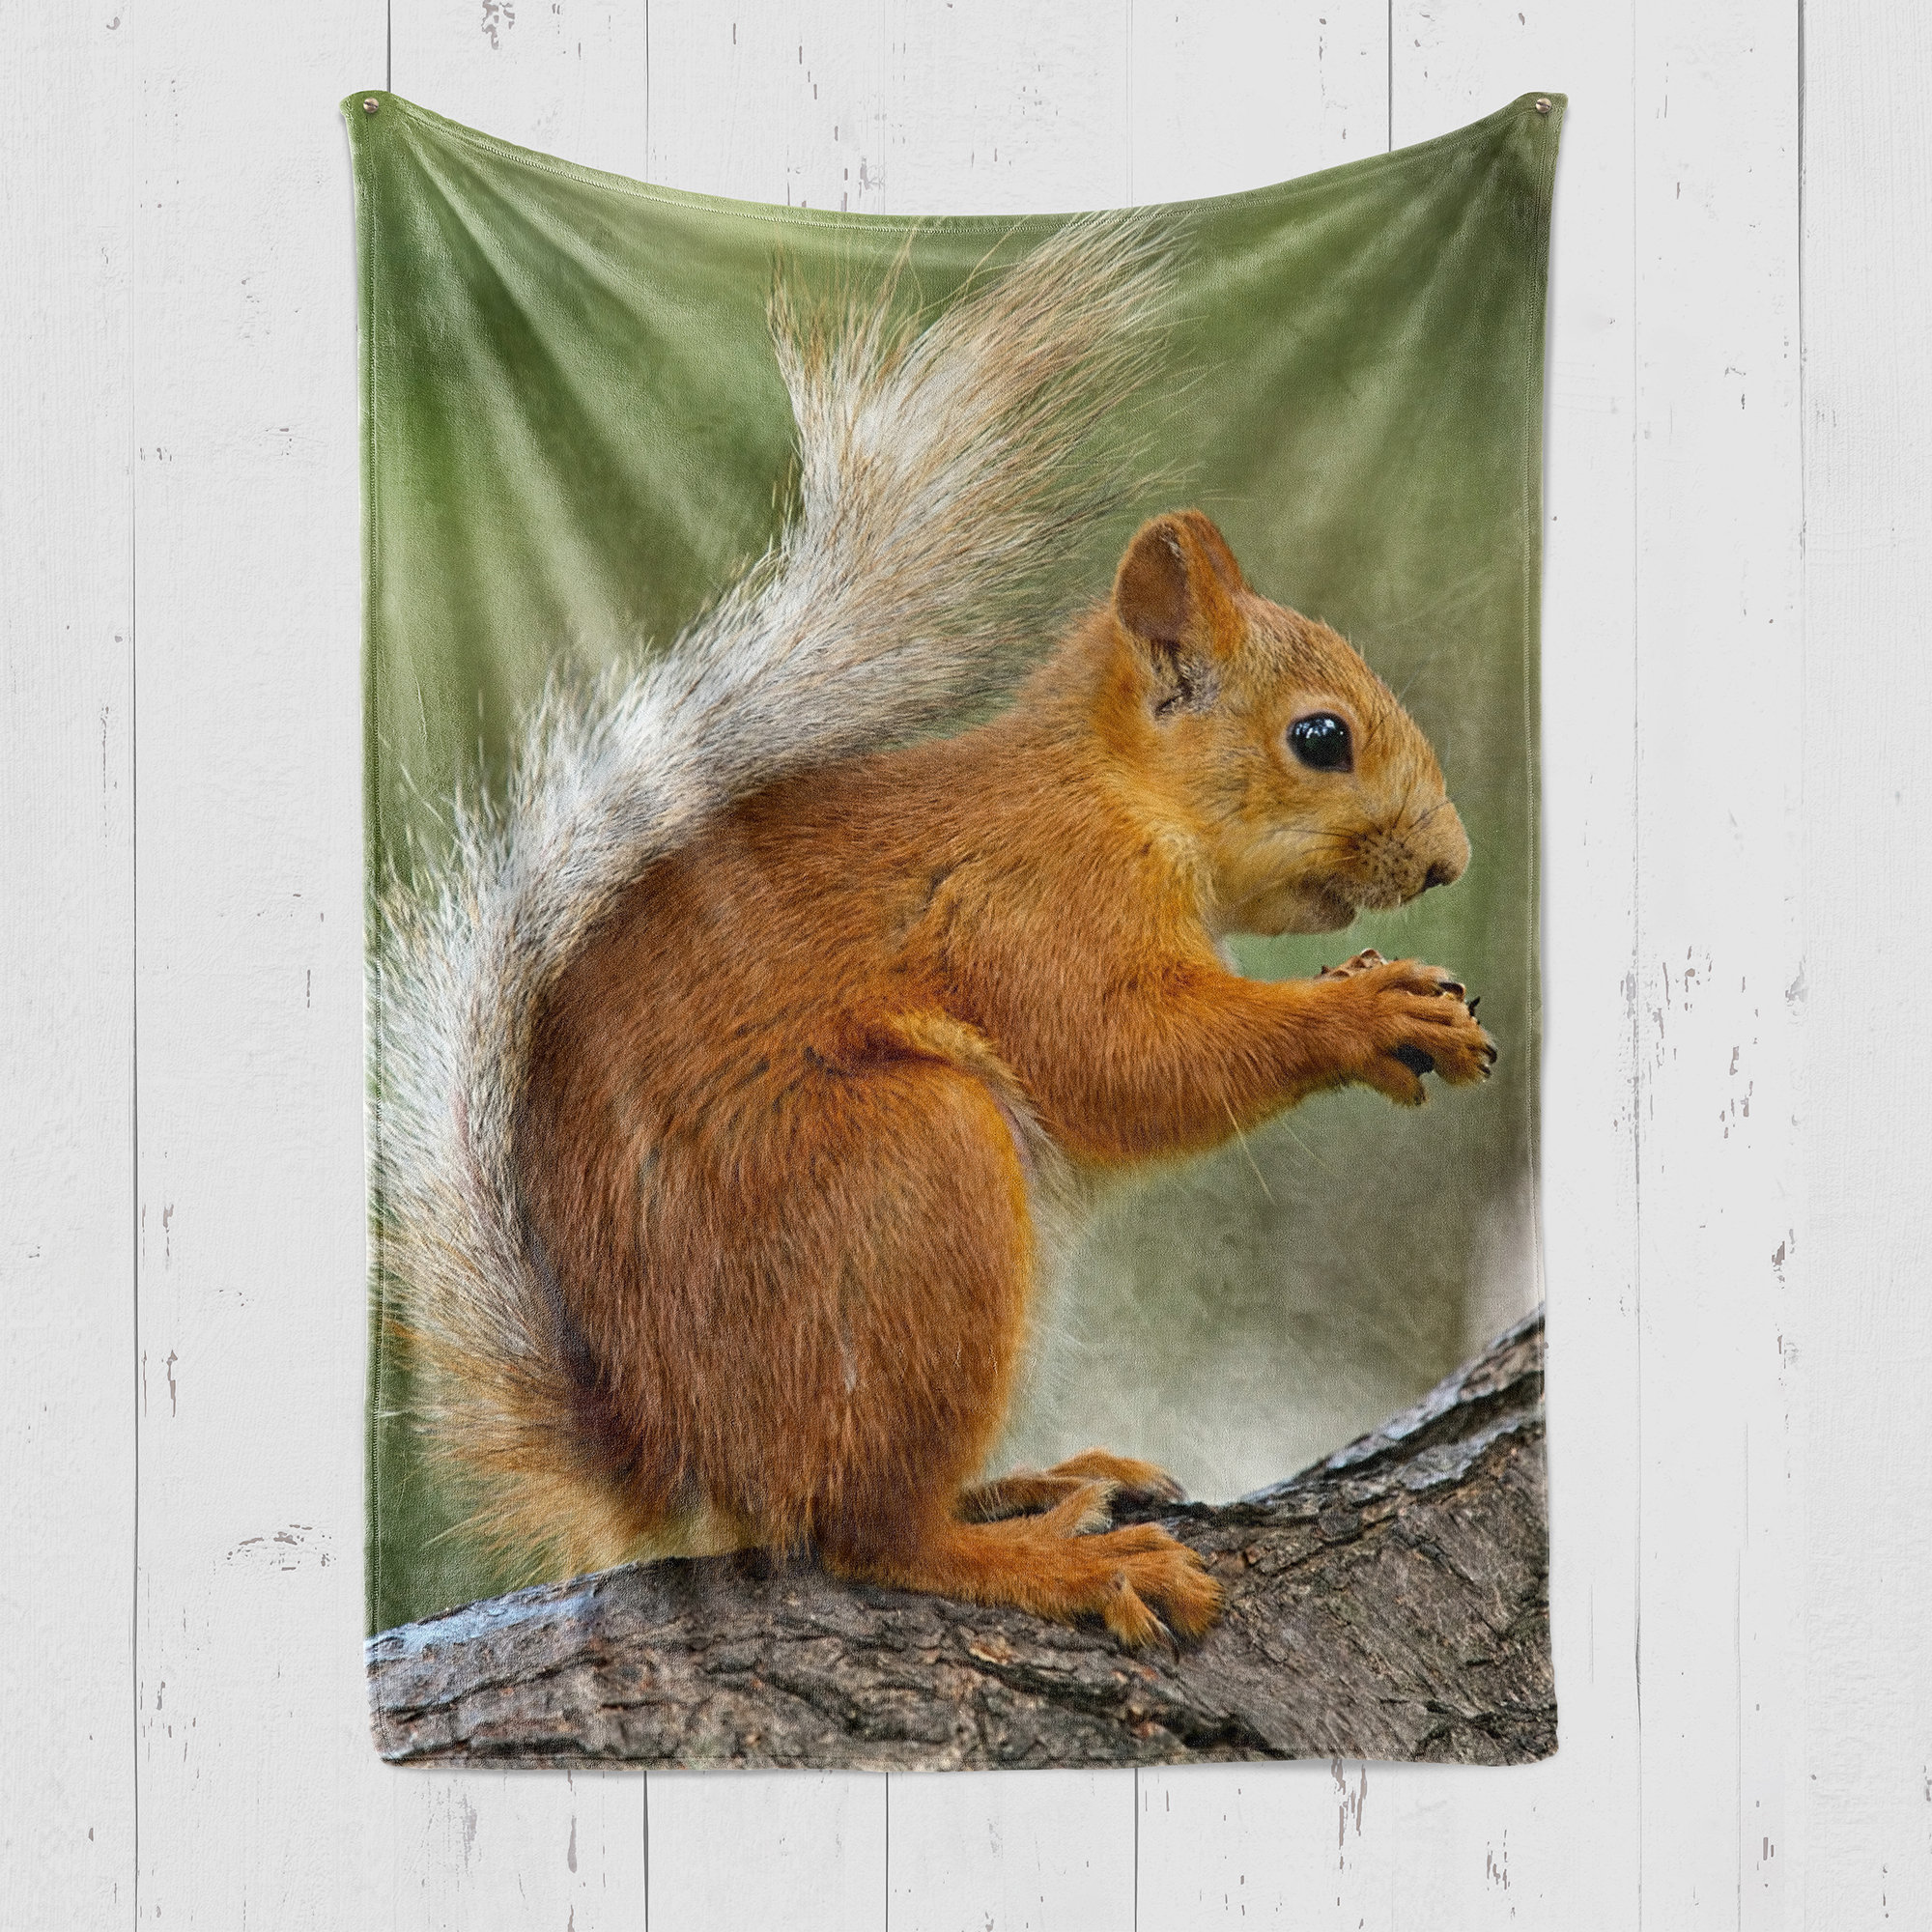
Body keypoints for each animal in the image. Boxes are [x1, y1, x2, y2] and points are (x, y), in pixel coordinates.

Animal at [374, 213, 1492, 1649]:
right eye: (1319, 737)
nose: (1450, 858)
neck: (1112, 794)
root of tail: (677, 1457)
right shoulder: (1033, 903)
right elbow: (1124, 1060)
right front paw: (1361, 1011)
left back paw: (1042, 1484)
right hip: (908, 1180)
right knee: (865, 1532)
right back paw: (1053, 1560)